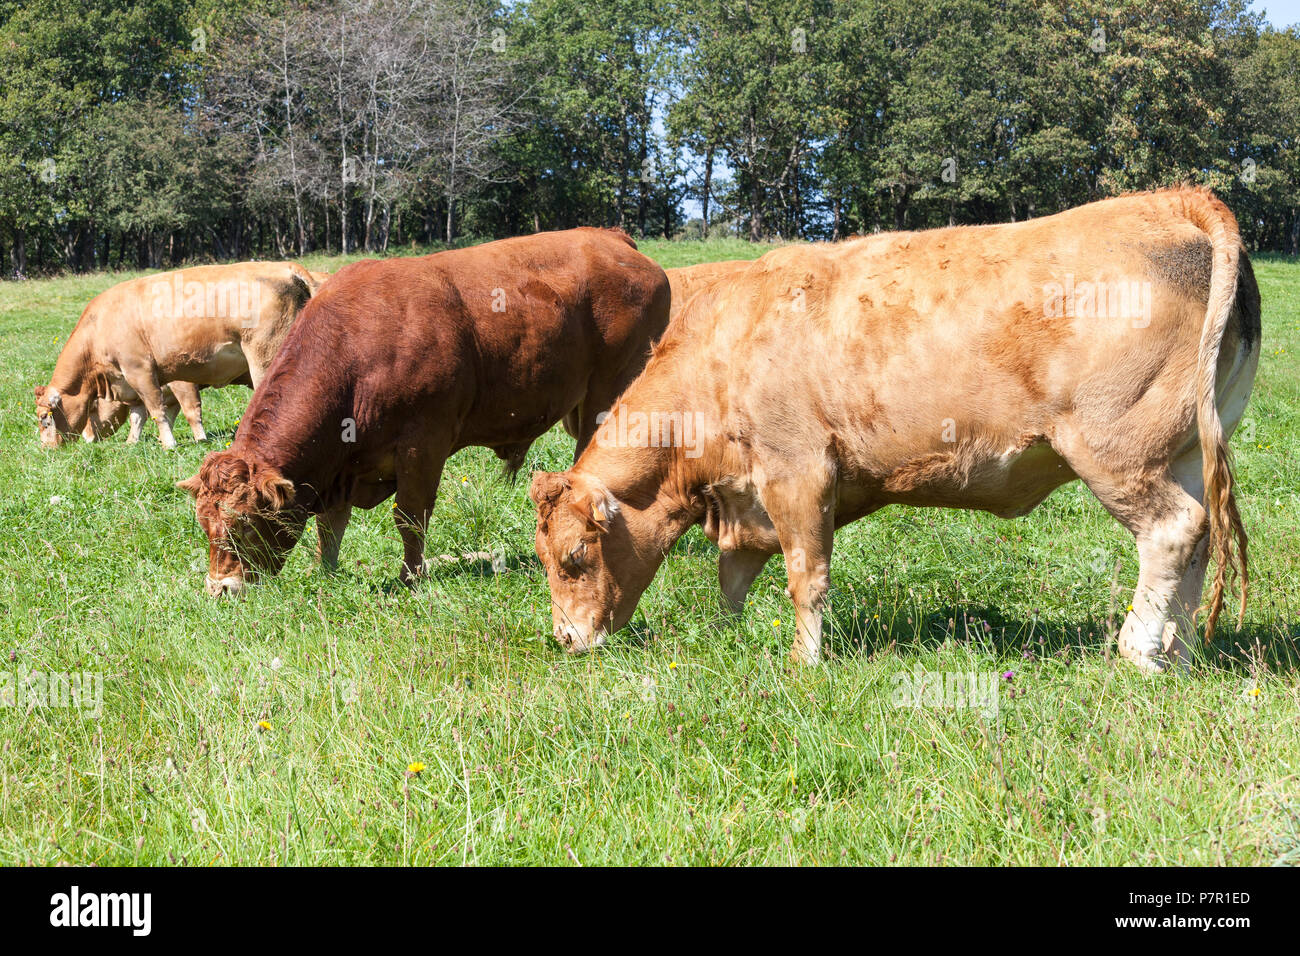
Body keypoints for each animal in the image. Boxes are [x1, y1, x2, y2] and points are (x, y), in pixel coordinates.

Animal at [35, 262, 315, 449]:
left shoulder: (143, 370)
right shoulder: (131, 383)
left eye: (44, 418)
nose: (47, 449)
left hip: (264, 357)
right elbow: (140, 416)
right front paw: (132, 443)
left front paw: (172, 443)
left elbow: (160, 409)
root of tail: (286, 267)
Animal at [178, 227, 671, 597]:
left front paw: (410, 577)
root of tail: (611, 239)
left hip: (610, 393)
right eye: (204, 523)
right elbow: (329, 526)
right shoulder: (340, 468)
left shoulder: (422, 446)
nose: (221, 589)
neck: (355, 350)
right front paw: (326, 573)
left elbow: (410, 516)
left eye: (243, 524)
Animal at [529, 187, 1261, 674]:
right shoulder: (746, 497)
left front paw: (803, 663)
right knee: (1202, 538)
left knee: (1172, 532)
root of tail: (1177, 199)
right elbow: (732, 577)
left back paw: (1138, 652)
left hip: (1117, 453)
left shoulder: (797, 471)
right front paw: (726, 636)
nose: (566, 640)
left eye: (574, 557)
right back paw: (1178, 655)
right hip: (1185, 449)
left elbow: (805, 575)